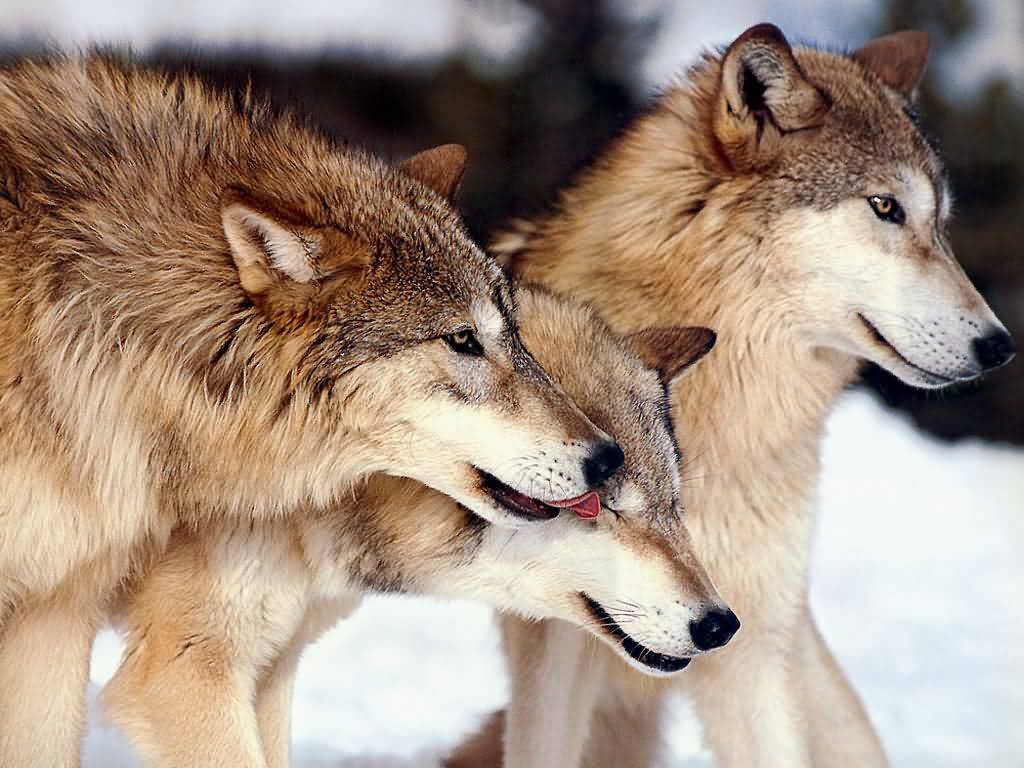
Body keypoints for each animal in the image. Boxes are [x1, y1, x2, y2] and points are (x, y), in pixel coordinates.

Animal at [448, 25, 1016, 768]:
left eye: (940, 222)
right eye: (885, 208)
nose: (1000, 345)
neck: (729, 418)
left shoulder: (753, 637)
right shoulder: (559, 640)